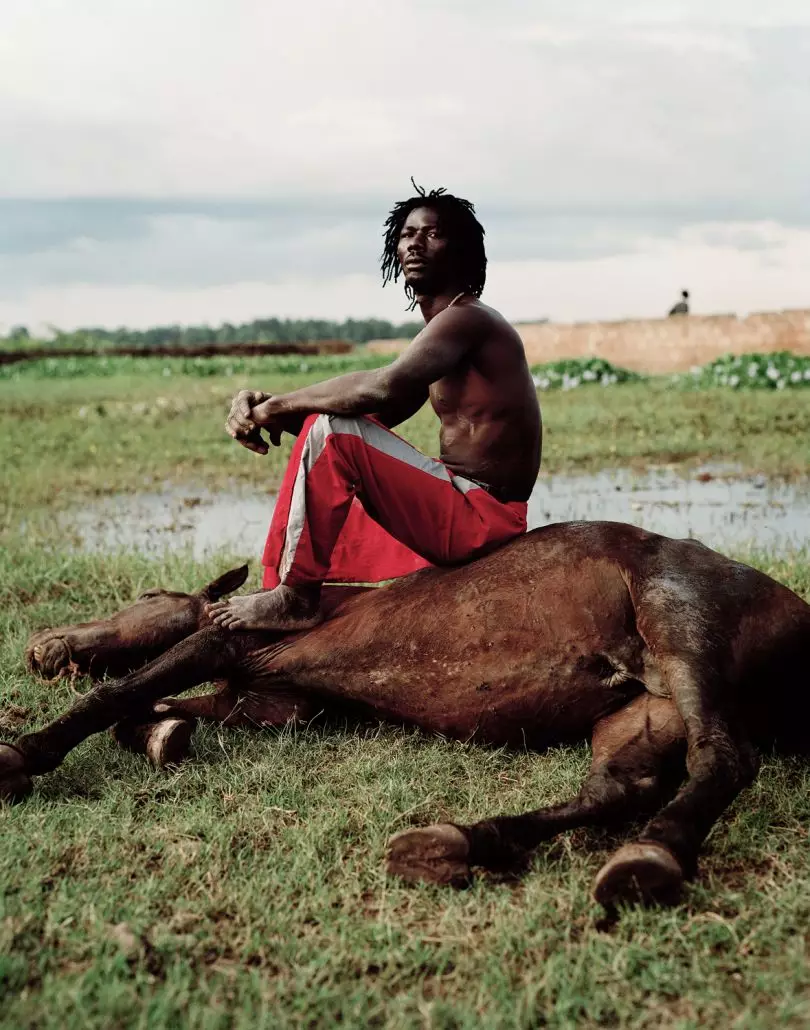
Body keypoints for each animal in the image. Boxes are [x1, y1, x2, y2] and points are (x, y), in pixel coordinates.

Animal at [6, 523, 807, 910]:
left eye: (145, 598)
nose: (41, 648)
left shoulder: (226, 643)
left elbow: (116, 695)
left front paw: (21, 754)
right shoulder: (273, 705)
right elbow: (156, 708)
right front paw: (161, 735)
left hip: (682, 631)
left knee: (723, 759)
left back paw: (651, 858)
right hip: (644, 708)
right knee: (620, 788)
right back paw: (463, 844)